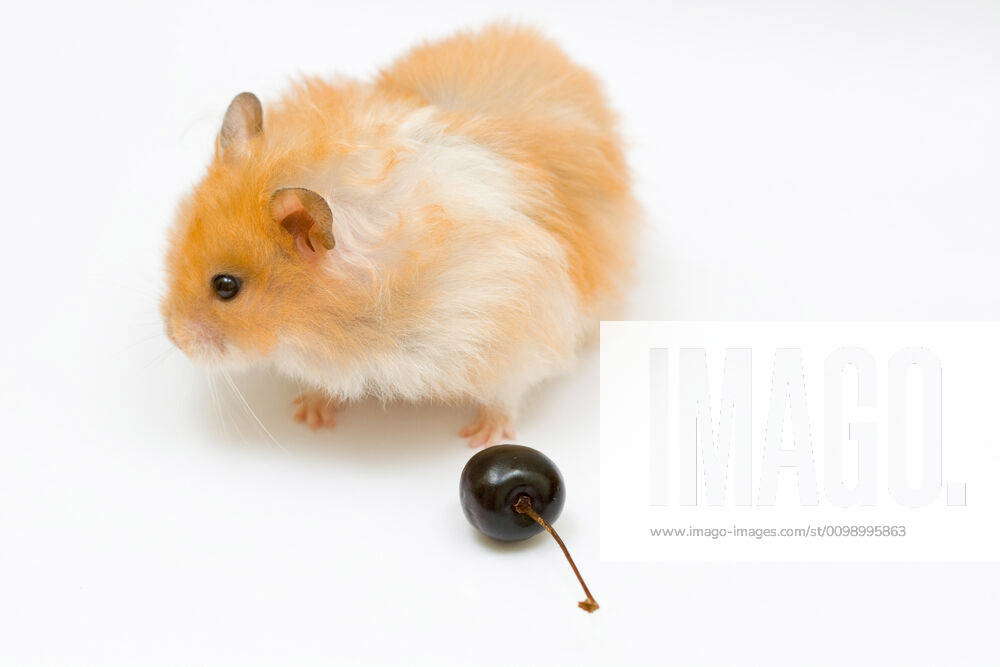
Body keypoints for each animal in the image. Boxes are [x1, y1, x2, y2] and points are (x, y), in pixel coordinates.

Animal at [162, 23, 637, 447]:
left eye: (226, 287)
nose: (175, 340)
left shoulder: (513, 332)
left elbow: (505, 395)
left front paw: (479, 439)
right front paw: (307, 416)